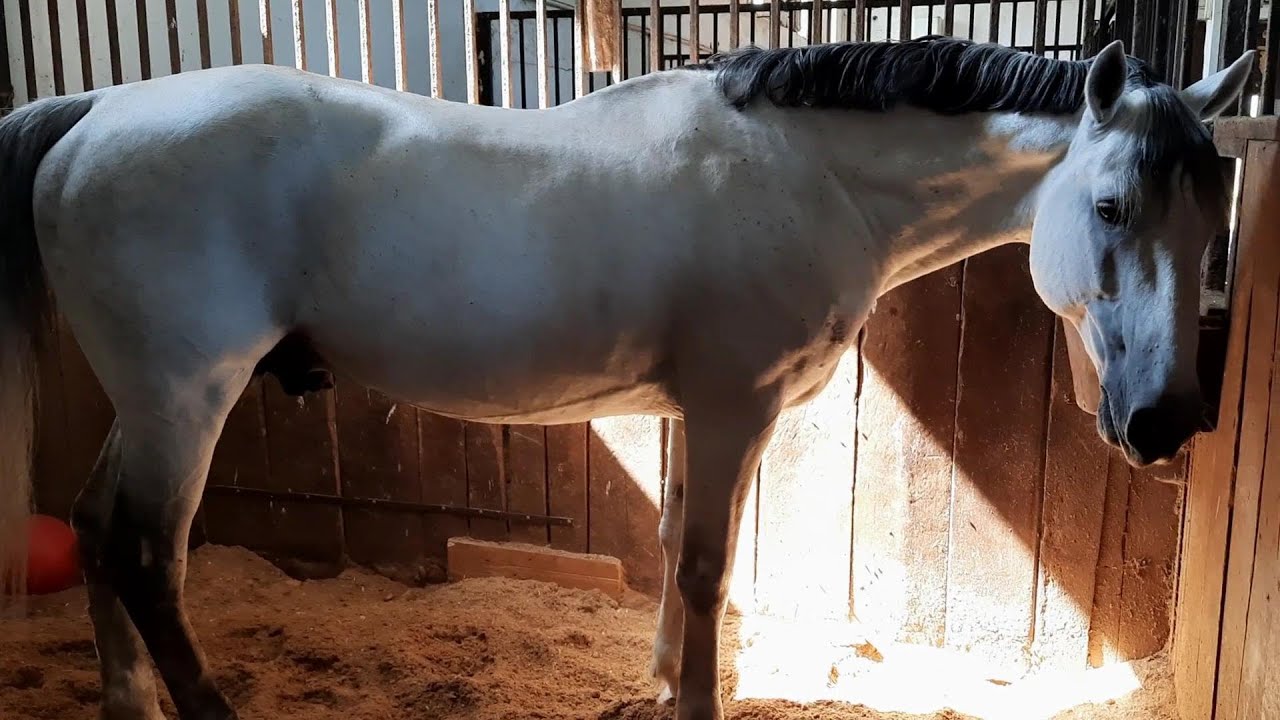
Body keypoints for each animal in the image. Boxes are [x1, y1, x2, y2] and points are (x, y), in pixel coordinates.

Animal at [0, 34, 1253, 720]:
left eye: (1212, 217)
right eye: (1109, 207)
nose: (1164, 420)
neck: (807, 173)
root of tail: (93, 110)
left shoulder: (689, 412)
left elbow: (671, 545)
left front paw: (655, 680)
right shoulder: (733, 406)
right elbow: (703, 570)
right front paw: (692, 698)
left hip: (147, 403)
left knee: (96, 527)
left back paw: (129, 702)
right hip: (185, 400)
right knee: (143, 552)